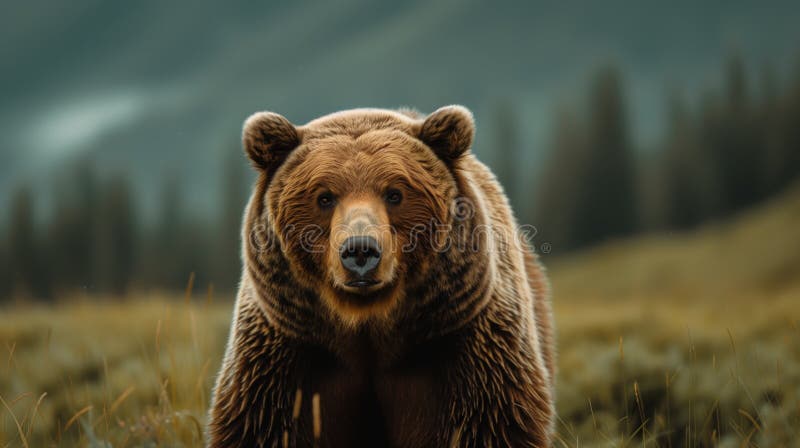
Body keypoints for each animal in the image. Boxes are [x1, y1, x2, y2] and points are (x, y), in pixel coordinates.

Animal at [207, 105, 556, 447]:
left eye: (395, 193)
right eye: (324, 197)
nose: (360, 250)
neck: (368, 324)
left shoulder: (463, 341)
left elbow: (488, 421)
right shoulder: (288, 354)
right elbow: (263, 424)